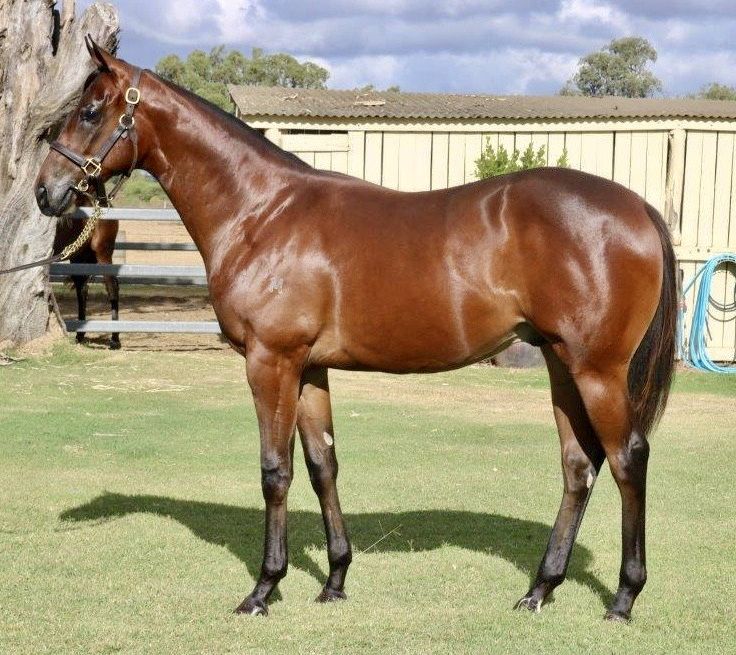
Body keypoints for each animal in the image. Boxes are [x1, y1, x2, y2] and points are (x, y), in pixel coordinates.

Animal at [54, 210, 121, 349]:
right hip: (79, 256)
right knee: (82, 290)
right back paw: (80, 335)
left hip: (102, 252)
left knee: (112, 287)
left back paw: (115, 339)